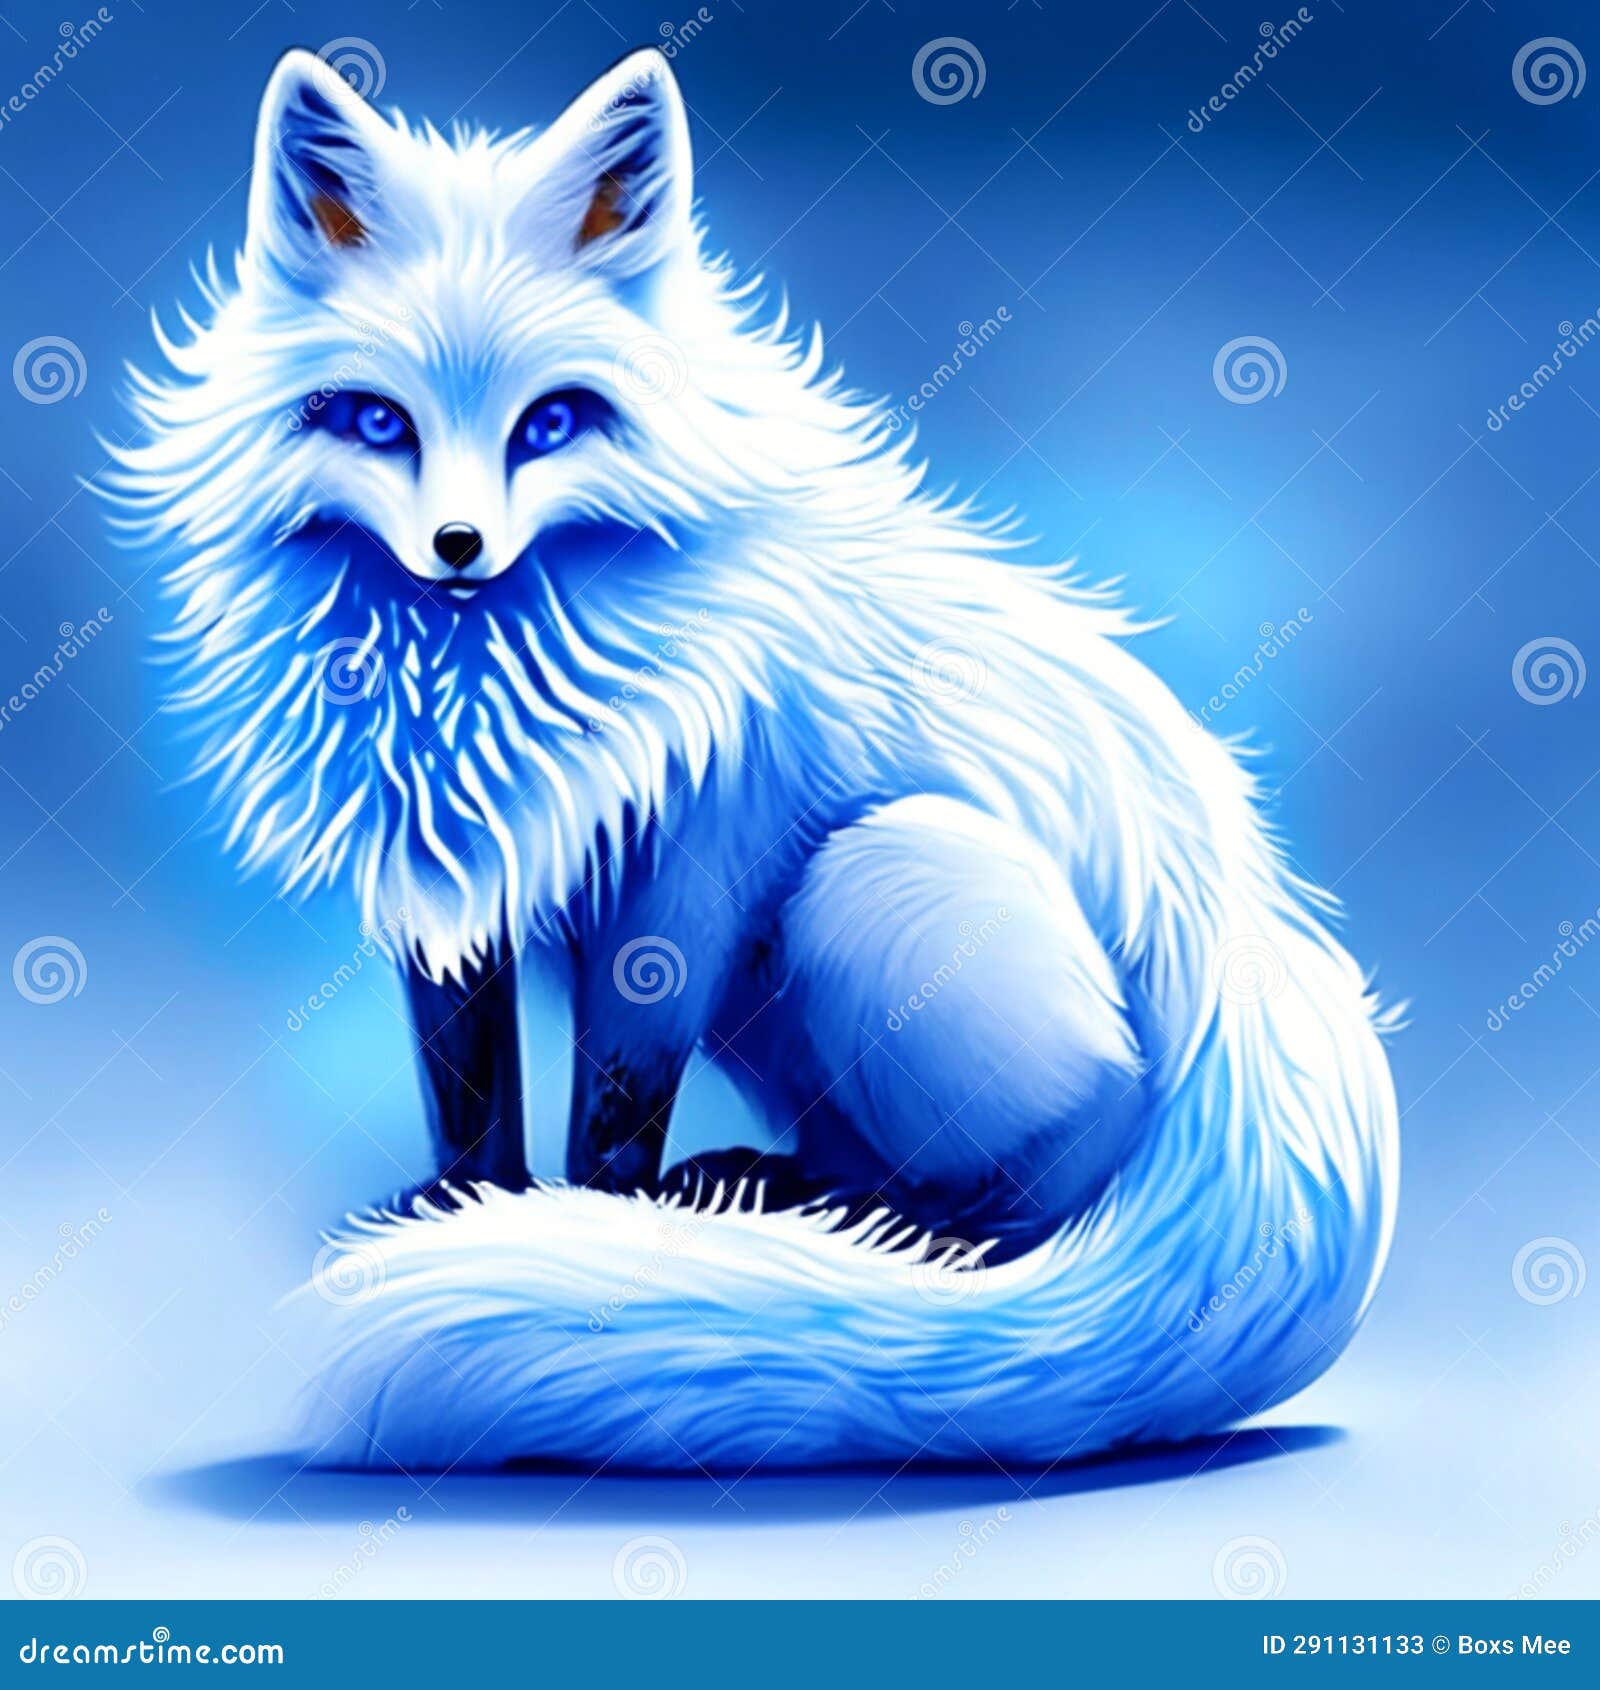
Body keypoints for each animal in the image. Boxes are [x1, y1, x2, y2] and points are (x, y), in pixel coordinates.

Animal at [106, 47, 1399, 1471]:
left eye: (551, 422)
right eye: (380, 423)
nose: (457, 549)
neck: (476, 684)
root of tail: (1254, 982)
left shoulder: (685, 871)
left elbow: (612, 1111)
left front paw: (587, 1246)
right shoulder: (441, 866)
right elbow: (469, 1088)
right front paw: (465, 1209)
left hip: (878, 882)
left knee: (1049, 1182)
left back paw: (909, 1247)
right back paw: (792, 1196)